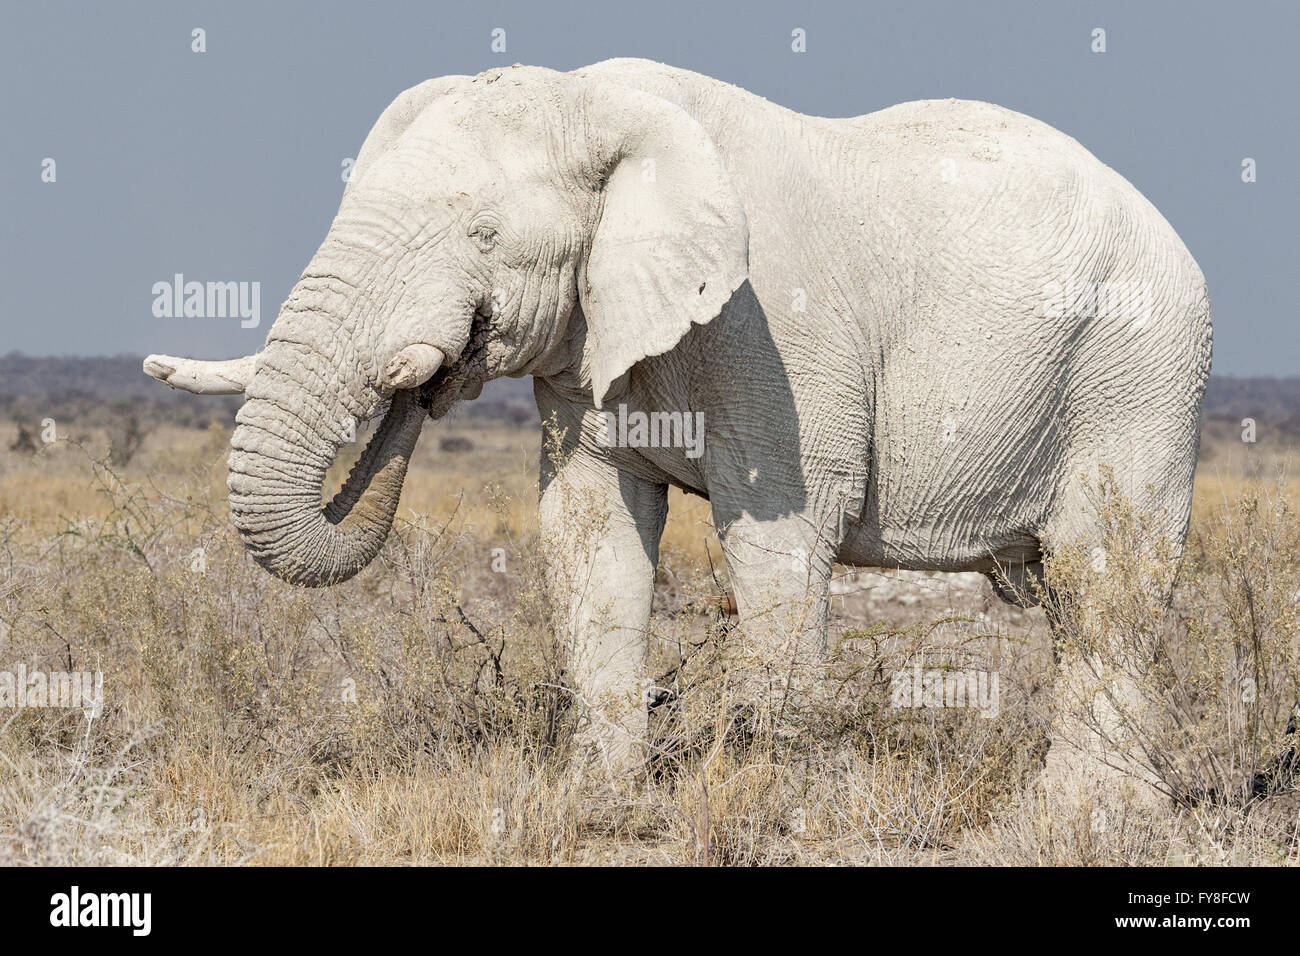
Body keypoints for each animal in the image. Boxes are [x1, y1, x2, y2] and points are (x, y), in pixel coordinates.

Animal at [145, 58, 1212, 777]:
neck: (594, 103)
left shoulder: (777, 337)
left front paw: (771, 797)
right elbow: (588, 530)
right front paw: (602, 795)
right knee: (1079, 594)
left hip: (1142, 367)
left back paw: (1081, 817)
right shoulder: (587, 344)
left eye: (483, 235)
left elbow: (778, 537)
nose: (430, 376)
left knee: (1106, 571)